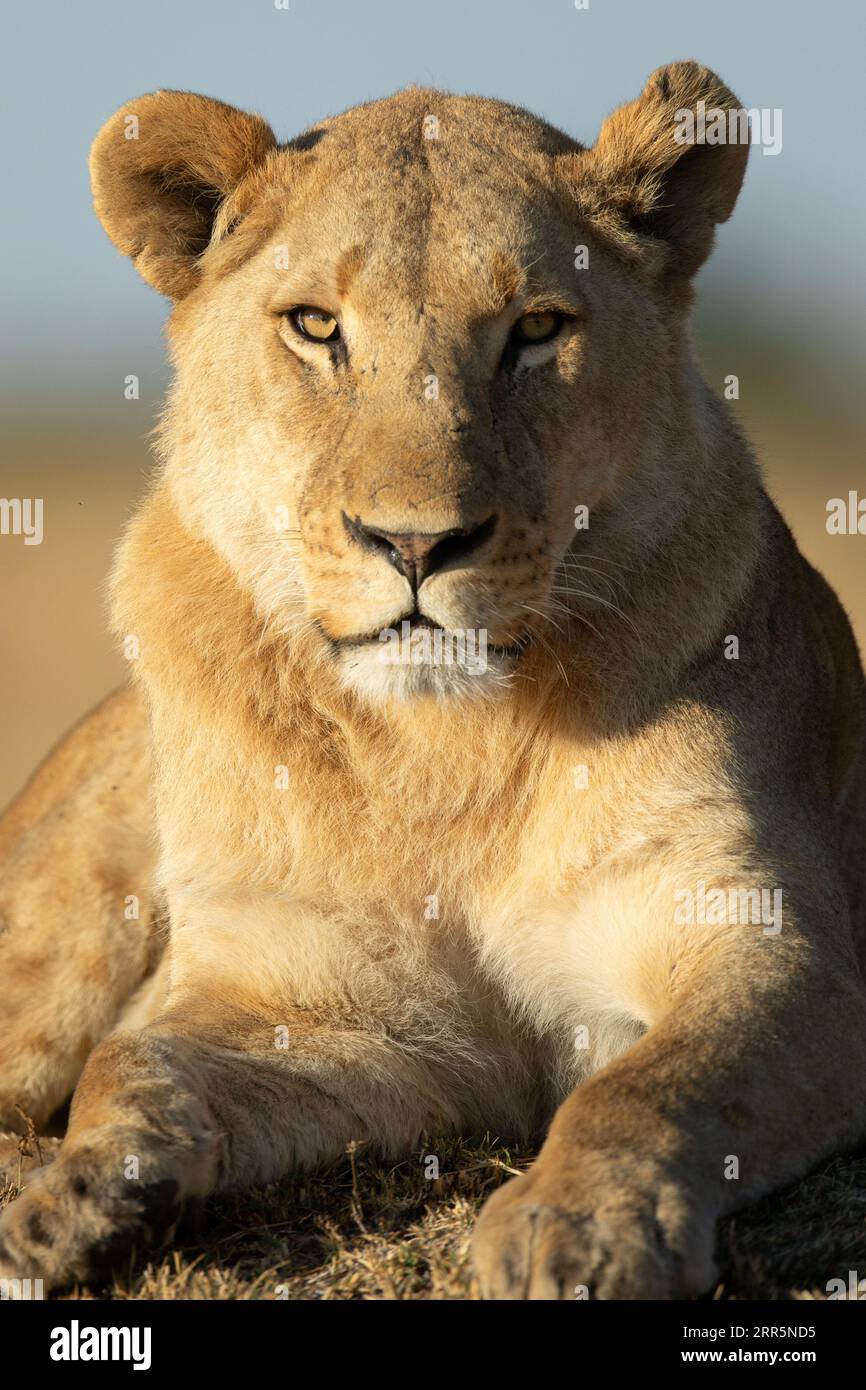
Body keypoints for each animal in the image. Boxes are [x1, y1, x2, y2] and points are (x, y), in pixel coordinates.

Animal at [1, 62, 865, 1300]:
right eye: (316, 327)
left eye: (535, 329)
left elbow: (642, 1087)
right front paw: (74, 1202)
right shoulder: (328, 1006)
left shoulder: (767, 947)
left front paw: (573, 1228)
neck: (436, 749)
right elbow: (134, 1059)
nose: (415, 544)